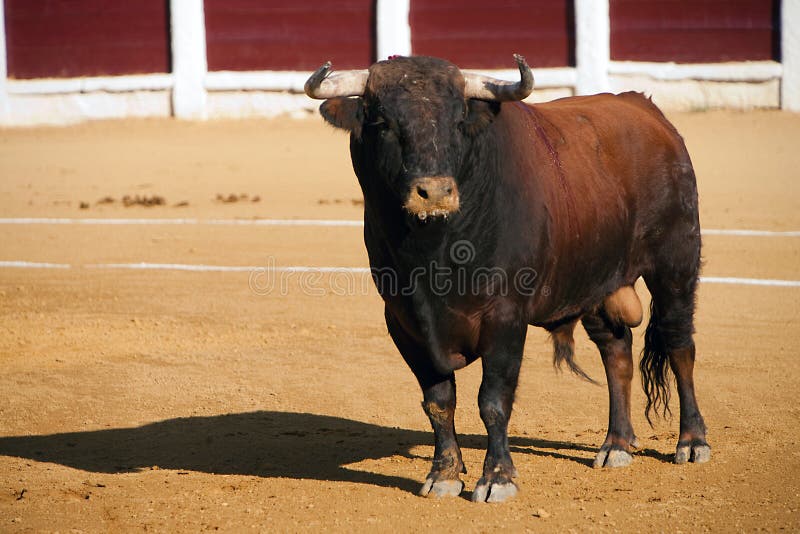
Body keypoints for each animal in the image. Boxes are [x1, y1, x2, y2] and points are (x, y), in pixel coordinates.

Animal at [304, 54, 710, 503]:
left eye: (458, 120)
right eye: (381, 122)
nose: (436, 192)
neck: (434, 252)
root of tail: (646, 109)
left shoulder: (505, 318)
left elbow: (493, 400)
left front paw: (497, 478)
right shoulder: (403, 322)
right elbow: (438, 400)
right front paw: (444, 474)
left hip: (675, 263)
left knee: (679, 343)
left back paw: (691, 441)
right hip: (595, 281)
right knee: (616, 352)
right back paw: (616, 444)